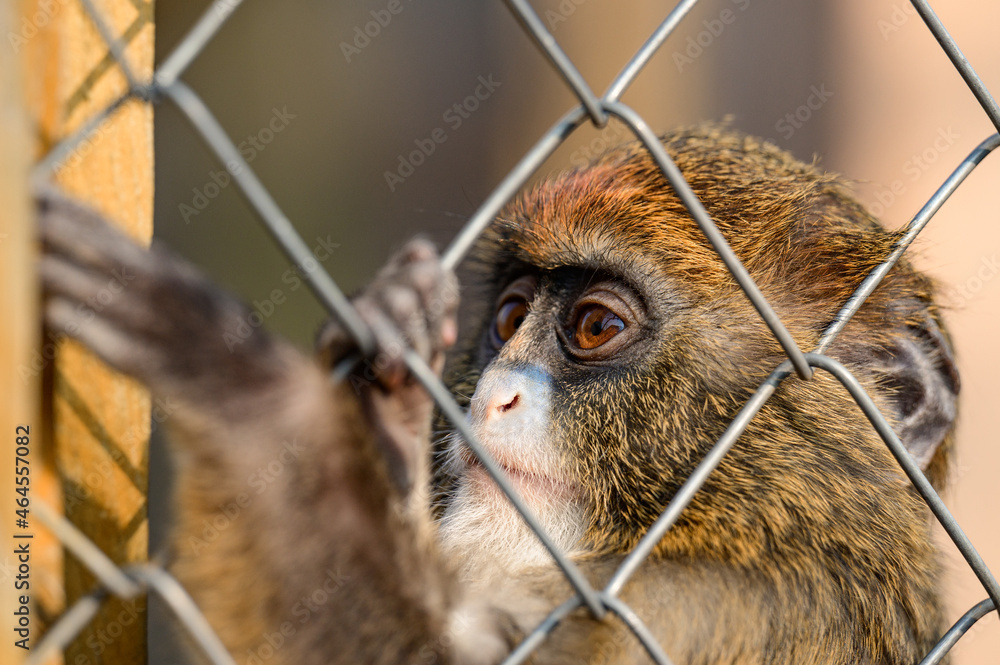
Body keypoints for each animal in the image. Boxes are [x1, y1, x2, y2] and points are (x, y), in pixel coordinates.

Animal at [37, 123, 960, 665]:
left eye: (594, 325)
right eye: (512, 315)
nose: (491, 398)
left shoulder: (708, 608)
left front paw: (254, 396)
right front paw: (382, 396)